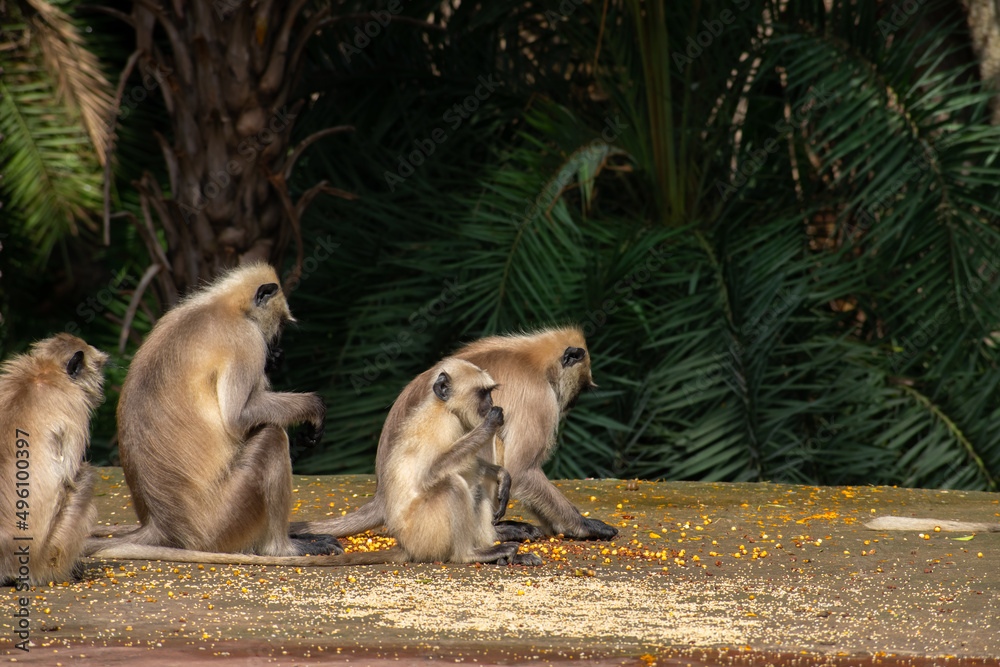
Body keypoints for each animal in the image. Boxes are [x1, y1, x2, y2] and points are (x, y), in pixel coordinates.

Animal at [0, 334, 108, 585]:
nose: (101, 383)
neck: (45, 370)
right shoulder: (74, 404)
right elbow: (69, 477)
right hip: (45, 555)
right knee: (86, 478)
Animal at [86, 358, 540, 567]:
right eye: (483, 394)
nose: (492, 406)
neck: (449, 412)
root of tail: (408, 544)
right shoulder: (444, 423)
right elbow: (434, 472)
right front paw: (491, 427)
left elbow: (480, 471)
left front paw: (502, 476)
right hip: (425, 531)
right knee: (453, 485)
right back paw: (472, 555)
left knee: (472, 484)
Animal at [87, 263, 341, 562]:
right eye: (279, 324)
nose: (276, 342)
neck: (223, 306)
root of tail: (161, 524)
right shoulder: (244, 338)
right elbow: (239, 416)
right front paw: (314, 407)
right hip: (219, 521)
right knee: (272, 436)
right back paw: (281, 548)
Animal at [295, 326, 618, 542]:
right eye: (579, 390)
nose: (569, 405)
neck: (532, 360)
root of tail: (384, 493)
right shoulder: (540, 398)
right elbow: (522, 470)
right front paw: (580, 526)